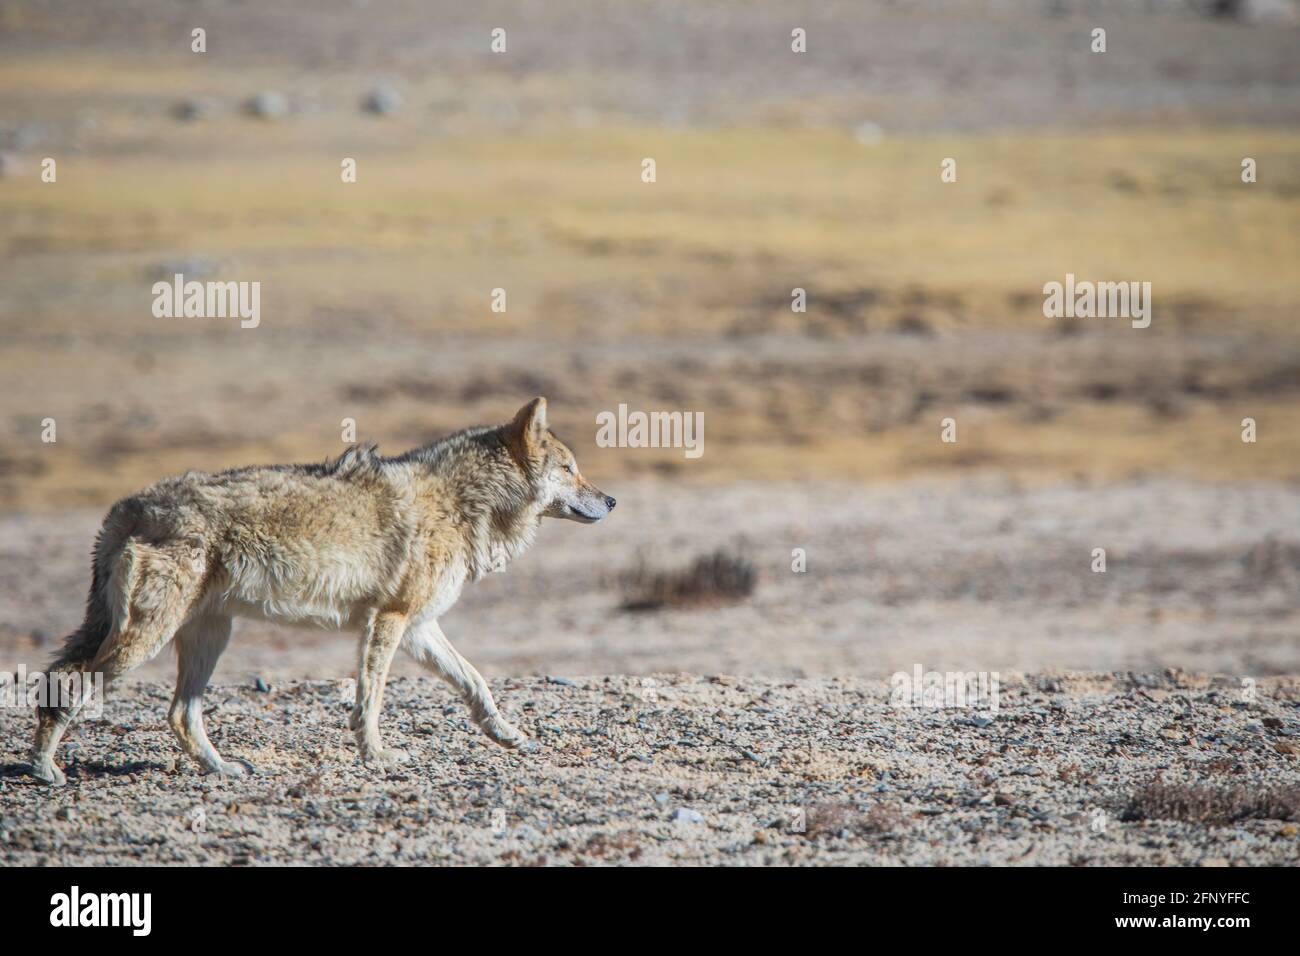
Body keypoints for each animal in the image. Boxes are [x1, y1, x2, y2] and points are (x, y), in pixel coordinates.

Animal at [29, 398, 614, 784]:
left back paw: (225, 768)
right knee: (71, 684)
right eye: (571, 469)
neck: (463, 502)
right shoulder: (390, 620)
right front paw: (377, 757)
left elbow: (476, 684)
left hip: (208, 636)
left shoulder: (419, 627)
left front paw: (508, 735)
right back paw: (44, 770)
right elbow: (371, 699)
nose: (611, 501)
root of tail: (126, 505)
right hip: (146, 640)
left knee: (177, 713)